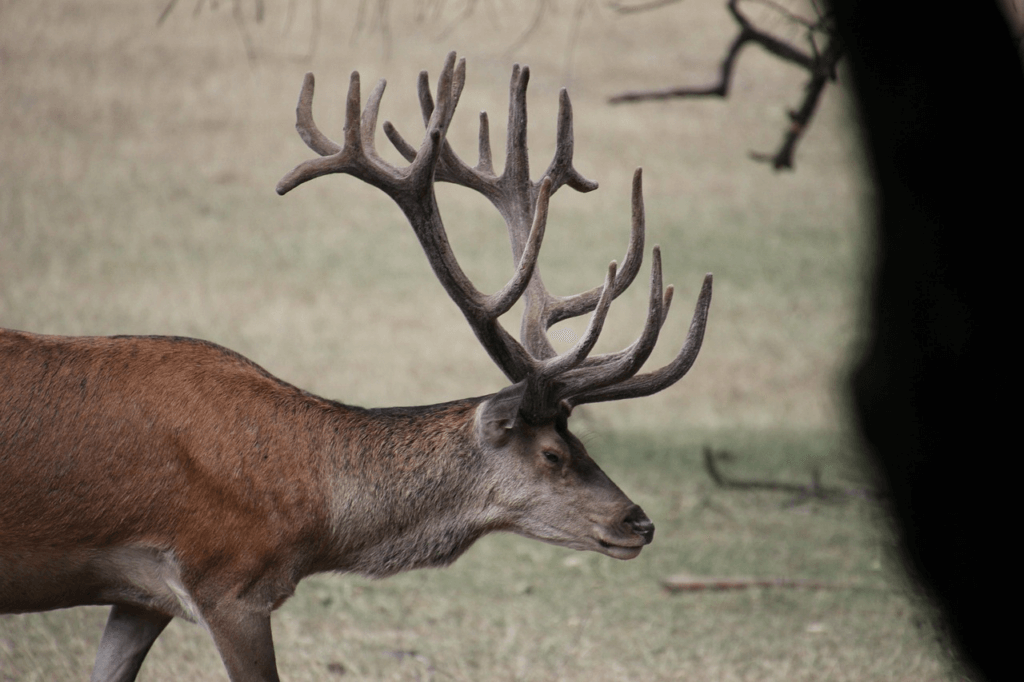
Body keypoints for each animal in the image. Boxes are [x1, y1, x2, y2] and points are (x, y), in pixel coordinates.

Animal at [0, 52, 712, 682]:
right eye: (553, 454)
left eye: (581, 441)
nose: (639, 522)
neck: (312, 515)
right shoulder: (225, 580)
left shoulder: (140, 598)